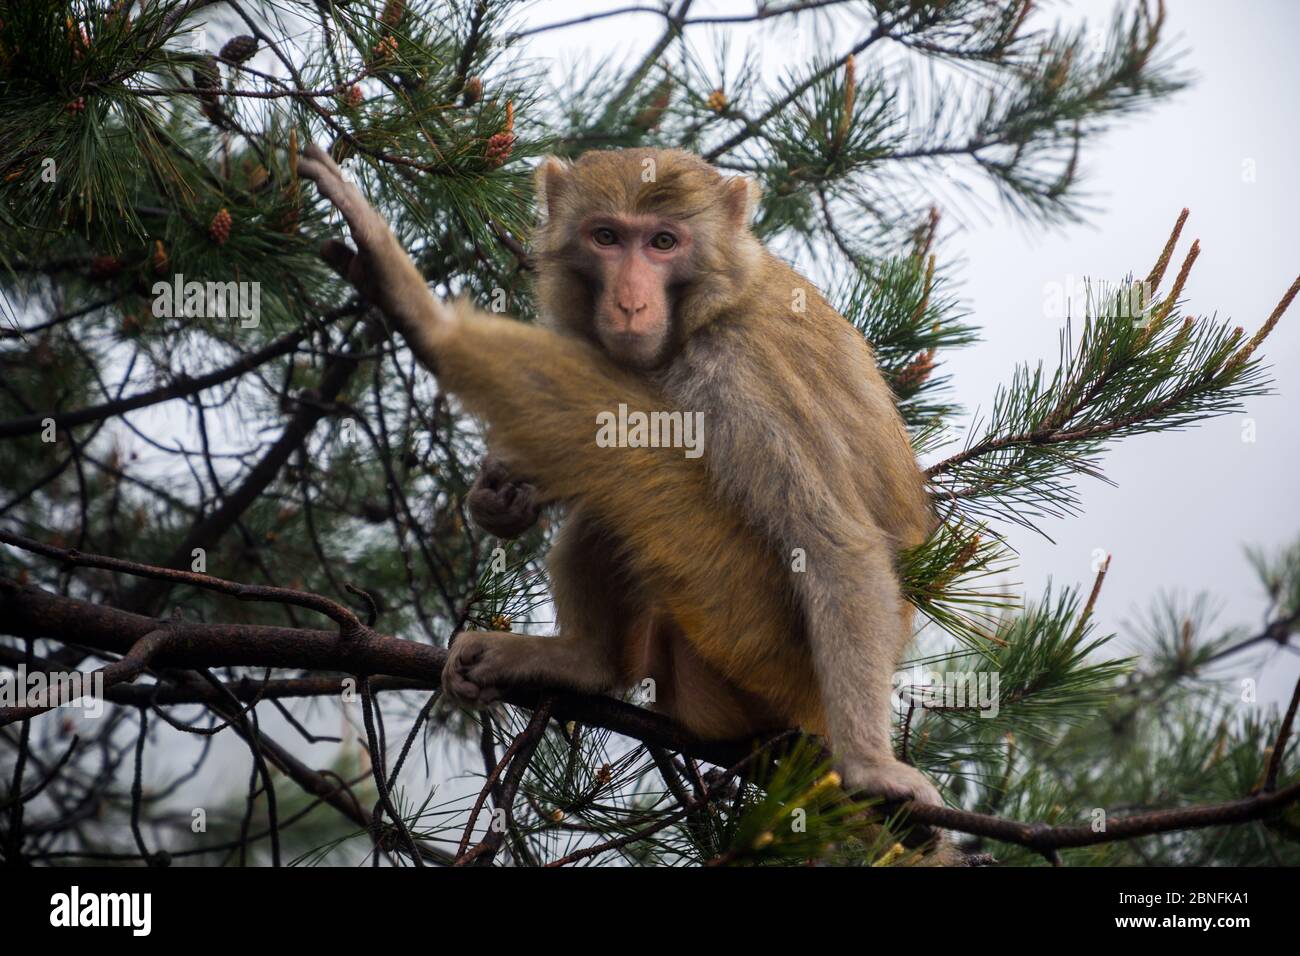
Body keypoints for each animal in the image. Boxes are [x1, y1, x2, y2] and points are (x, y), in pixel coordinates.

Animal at [297, 143, 943, 814]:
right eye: (606, 237)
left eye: (663, 242)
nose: (631, 303)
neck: (700, 319)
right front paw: (498, 496)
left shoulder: (745, 372)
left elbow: (830, 543)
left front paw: (870, 766)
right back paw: (585, 662)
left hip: (751, 653)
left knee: (641, 471)